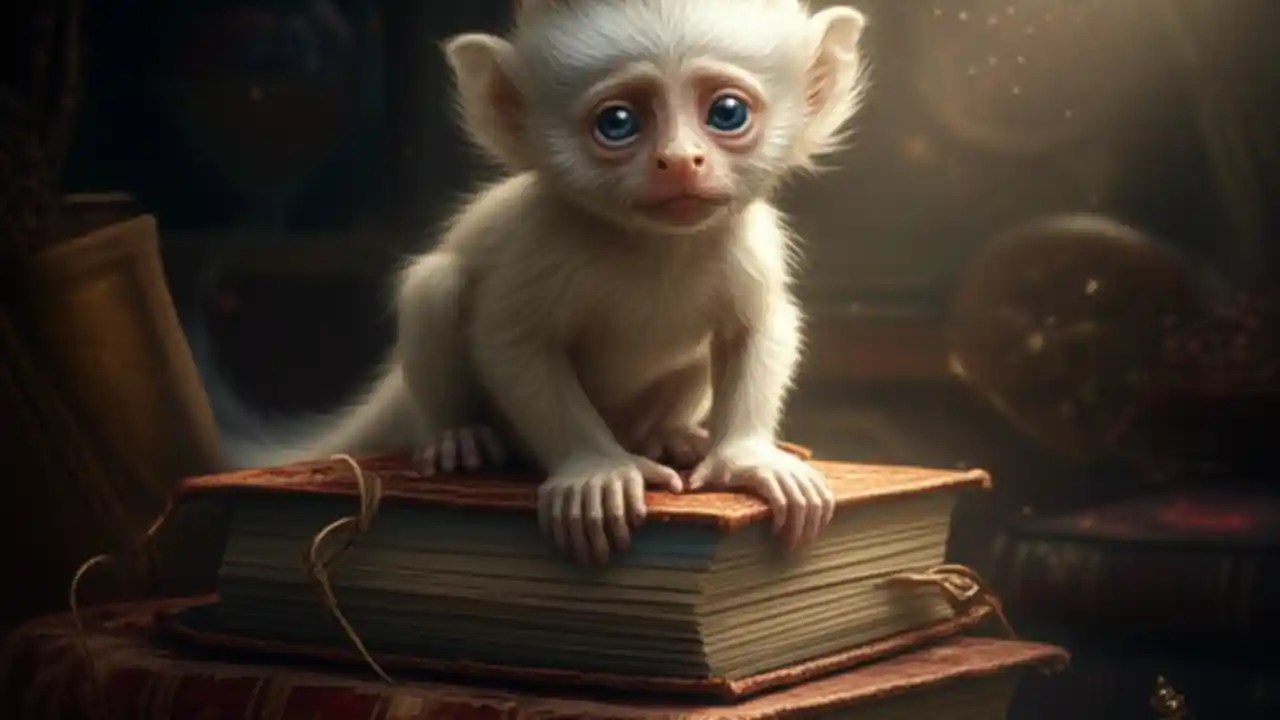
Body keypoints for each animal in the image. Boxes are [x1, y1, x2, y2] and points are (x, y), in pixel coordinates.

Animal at [219, 0, 870, 566]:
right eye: (618, 123)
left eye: (727, 113)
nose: (680, 160)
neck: (654, 245)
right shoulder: (546, 244)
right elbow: (512, 342)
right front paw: (596, 473)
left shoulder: (750, 242)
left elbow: (757, 330)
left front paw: (748, 460)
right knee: (436, 287)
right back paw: (459, 436)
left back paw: (671, 436)